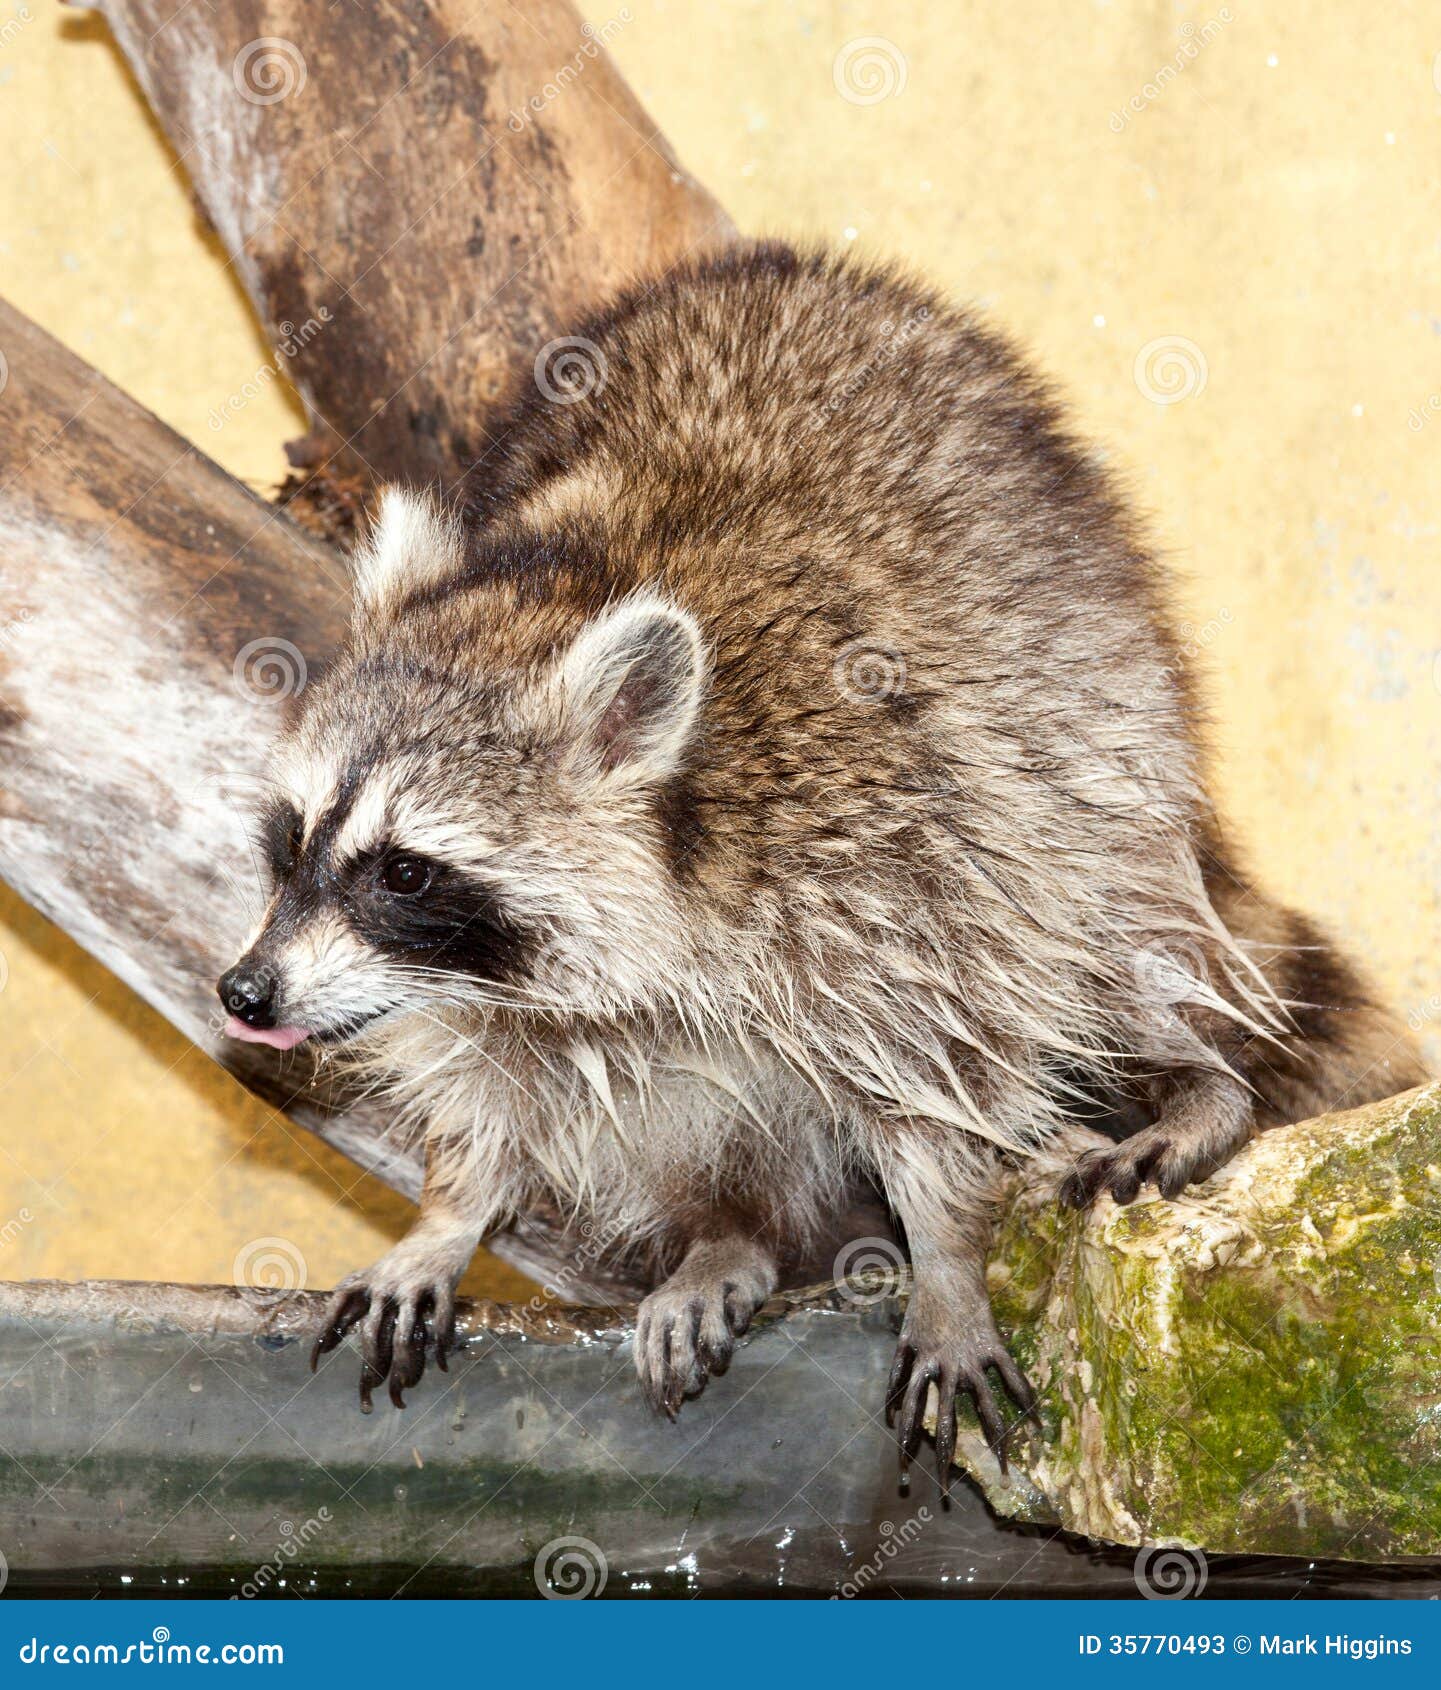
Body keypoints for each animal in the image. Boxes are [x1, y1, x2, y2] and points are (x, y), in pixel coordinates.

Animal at [218, 244, 1425, 1477]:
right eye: (292, 837)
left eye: (401, 871)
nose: (245, 992)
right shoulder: (501, 989)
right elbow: (501, 1084)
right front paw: (450, 1213)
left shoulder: (890, 850)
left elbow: (947, 1061)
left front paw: (948, 1252)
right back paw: (732, 1234)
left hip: (1100, 732)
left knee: (1097, 927)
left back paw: (1193, 1080)